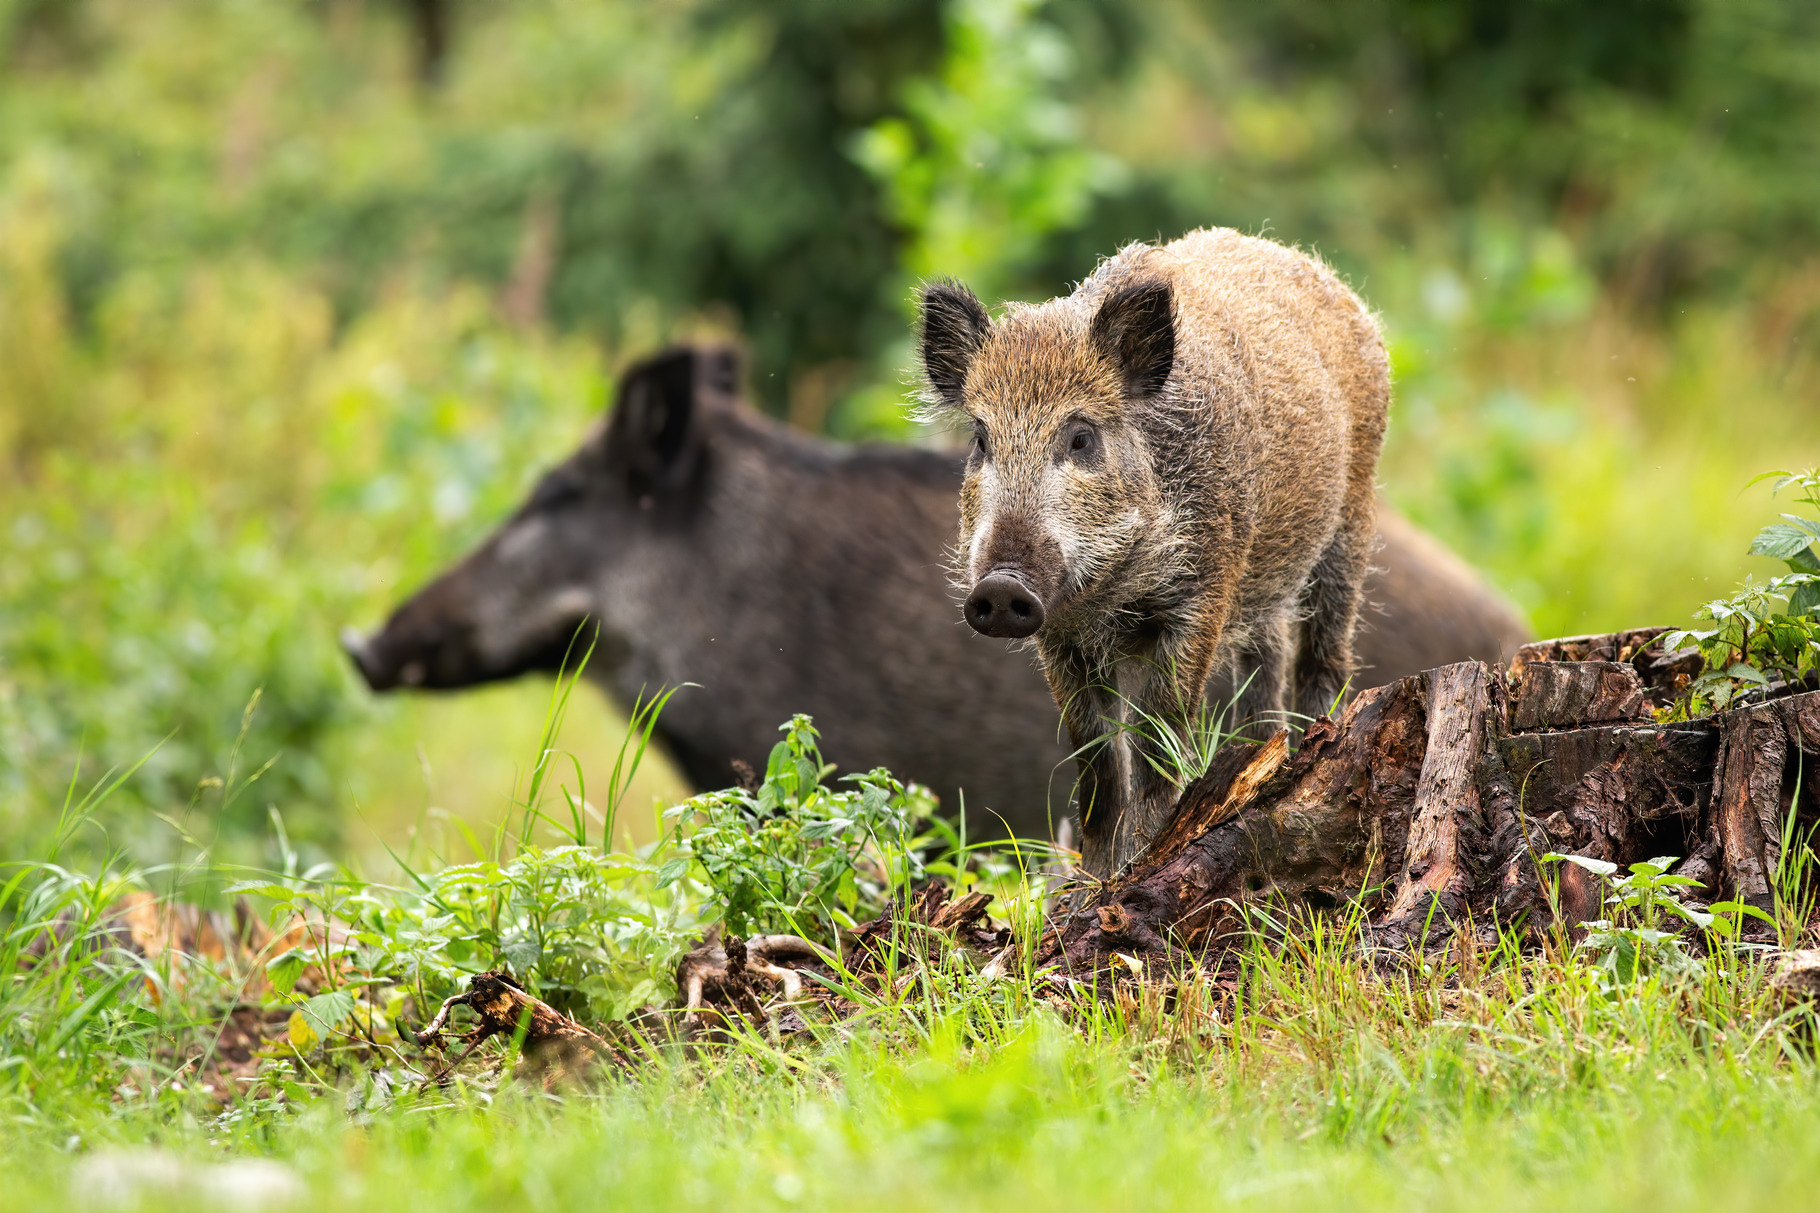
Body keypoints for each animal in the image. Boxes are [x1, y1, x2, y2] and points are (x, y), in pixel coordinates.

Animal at [918, 229, 1389, 873]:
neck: (1111, 591)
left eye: (1081, 437)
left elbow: (1155, 735)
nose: (1001, 585)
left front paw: (1145, 856)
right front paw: (1091, 878)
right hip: (1268, 585)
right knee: (1265, 661)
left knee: (1323, 657)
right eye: (981, 440)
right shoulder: (1058, 635)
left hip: (1352, 521)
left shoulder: (1203, 592)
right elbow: (1093, 754)